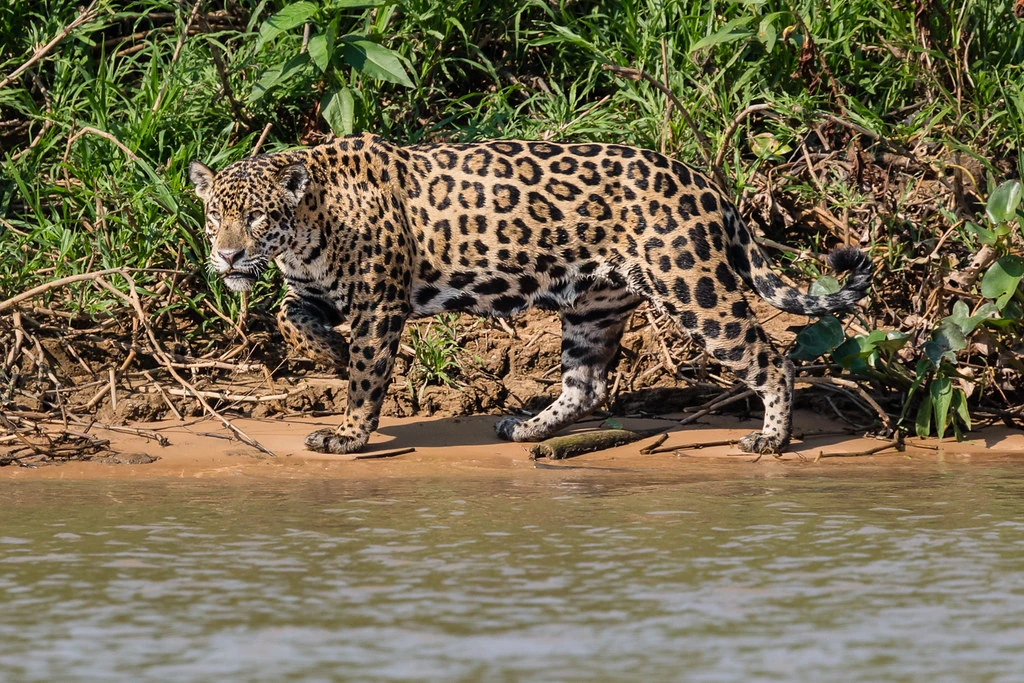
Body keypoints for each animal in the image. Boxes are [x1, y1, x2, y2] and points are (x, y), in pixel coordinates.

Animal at [189, 133, 872, 455]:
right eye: (214, 215)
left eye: (256, 218)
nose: (227, 256)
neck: (310, 226)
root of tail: (705, 180)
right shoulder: (322, 292)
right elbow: (290, 312)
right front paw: (329, 349)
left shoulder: (380, 303)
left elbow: (366, 377)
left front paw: (349, 435)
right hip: (595, 305)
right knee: (587, 385)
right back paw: (525, 428)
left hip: (692, 287)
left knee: (771, 357)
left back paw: (772, 439)